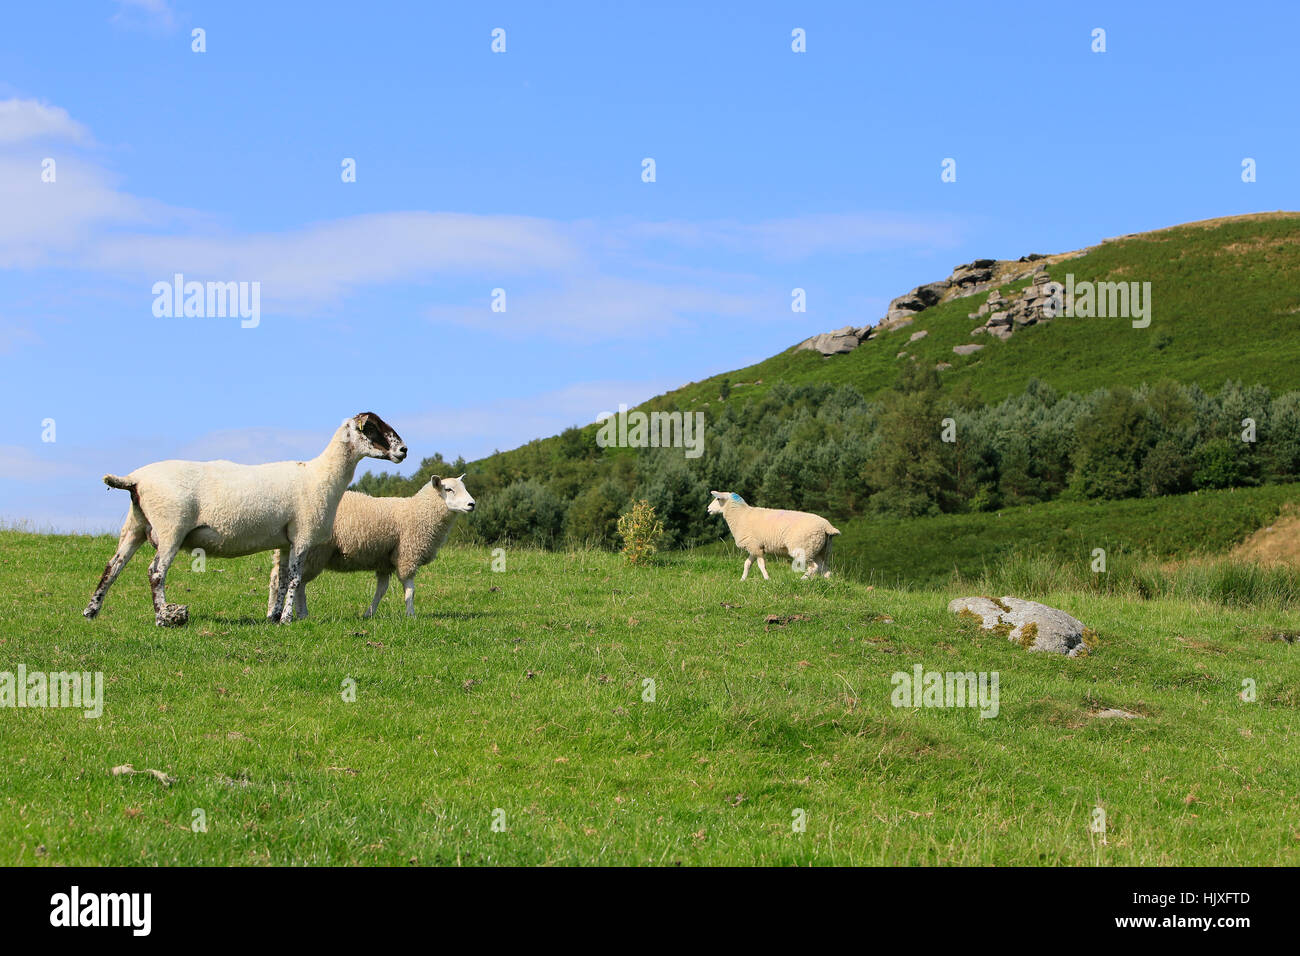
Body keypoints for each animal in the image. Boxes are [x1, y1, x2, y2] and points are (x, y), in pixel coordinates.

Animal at [83, 412, 407, 627]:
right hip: (170, 528)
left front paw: (273, 617)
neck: (321, 475)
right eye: (372, 428)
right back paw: (164, 617)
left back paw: (91, 611)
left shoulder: (286, 539)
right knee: (155, 572)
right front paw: (287, 619)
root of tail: (135, 479)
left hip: (135, 526)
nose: (403, 450)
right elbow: (295, 578)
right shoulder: (303, 535)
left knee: (112, 567)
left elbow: (283, 578)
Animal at [268, 474, 475, 620]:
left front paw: (369, 613)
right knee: (289, 580)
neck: (419, 512)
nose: (472, 504)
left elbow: (380, 591)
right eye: (448, 489)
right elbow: (410, 590)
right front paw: (411, 615)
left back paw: (296, 613)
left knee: (289, 580)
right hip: (313, 552)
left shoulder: (385, 562)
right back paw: (280, 613)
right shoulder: (407, 556)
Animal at [707, 490, 840, 580]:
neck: (740, 516)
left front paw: (767, 579)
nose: (708, 509)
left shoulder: (755, 547)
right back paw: (827, 583)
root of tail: (826, 526)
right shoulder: (755, 547)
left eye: (718, 499)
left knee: (814, 567)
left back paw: (802, 579)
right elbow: (747, 564)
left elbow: (761, 565)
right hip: (821, 549)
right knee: (825, 569)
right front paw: (742, 579)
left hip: (805, 548)